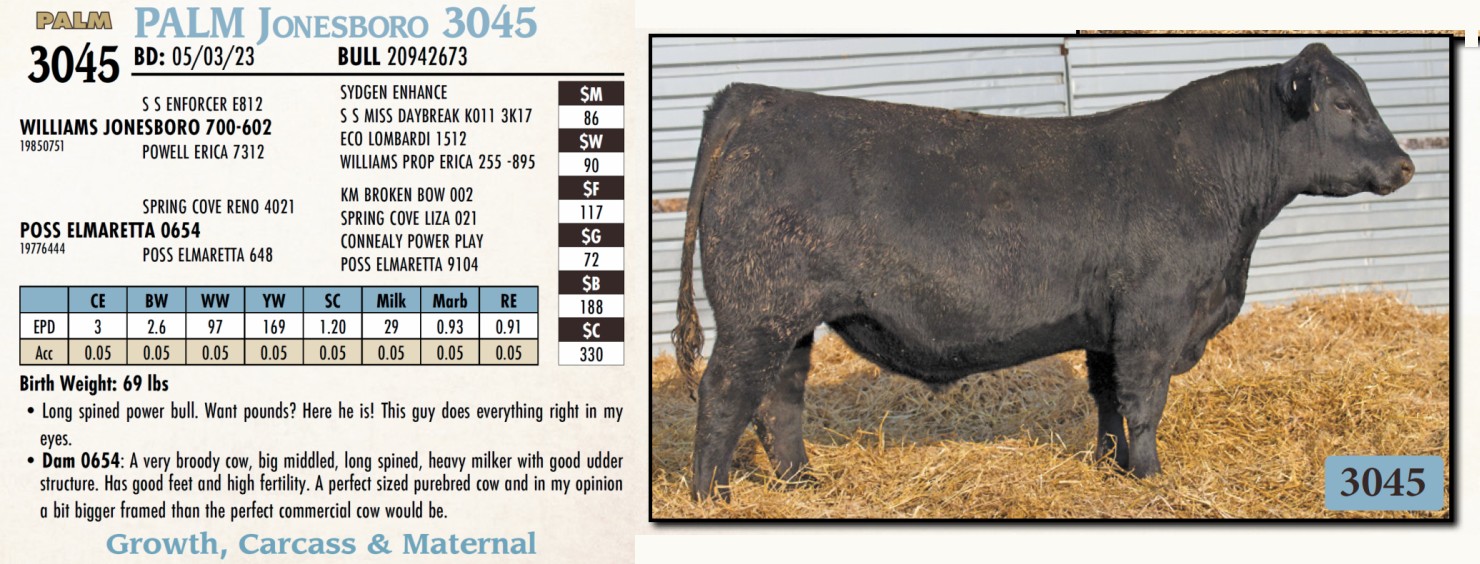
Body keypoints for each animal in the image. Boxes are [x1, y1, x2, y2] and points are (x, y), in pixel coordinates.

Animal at [671, 43, 1415, 501]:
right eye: (1343, 105)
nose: (1405, 164)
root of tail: (758, 97)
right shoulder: (1154, 320)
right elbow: (1145, 403)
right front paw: (1151, 478)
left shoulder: (1108, 328)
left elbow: (1109, 401)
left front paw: (1109, 467)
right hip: (757, 314)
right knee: (724, 394)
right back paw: (714, 496)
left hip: (790, 321)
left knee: (779, 399)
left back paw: (801, 484)